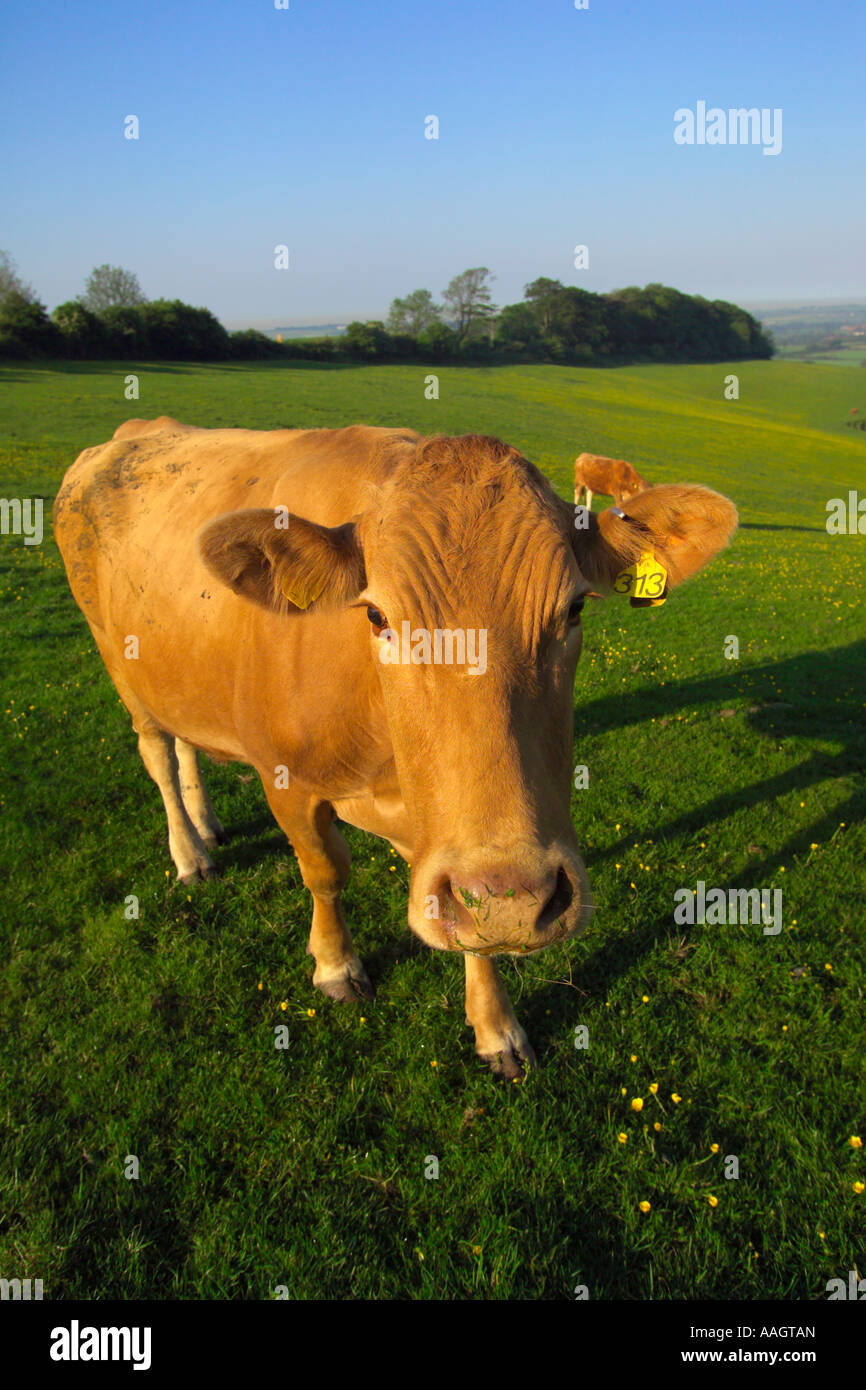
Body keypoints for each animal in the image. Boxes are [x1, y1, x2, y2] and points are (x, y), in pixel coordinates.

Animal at [54, 418, 737, 1078]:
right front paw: (335, 965)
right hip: (120, 663)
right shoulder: (287, 782)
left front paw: (496, 1028)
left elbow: (470, 929)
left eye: (572, 610)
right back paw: (190, 852)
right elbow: (325, 872)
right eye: (377, 616)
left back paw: (207, 822)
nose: (519, 902)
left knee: (187, 748)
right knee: (159, 757)